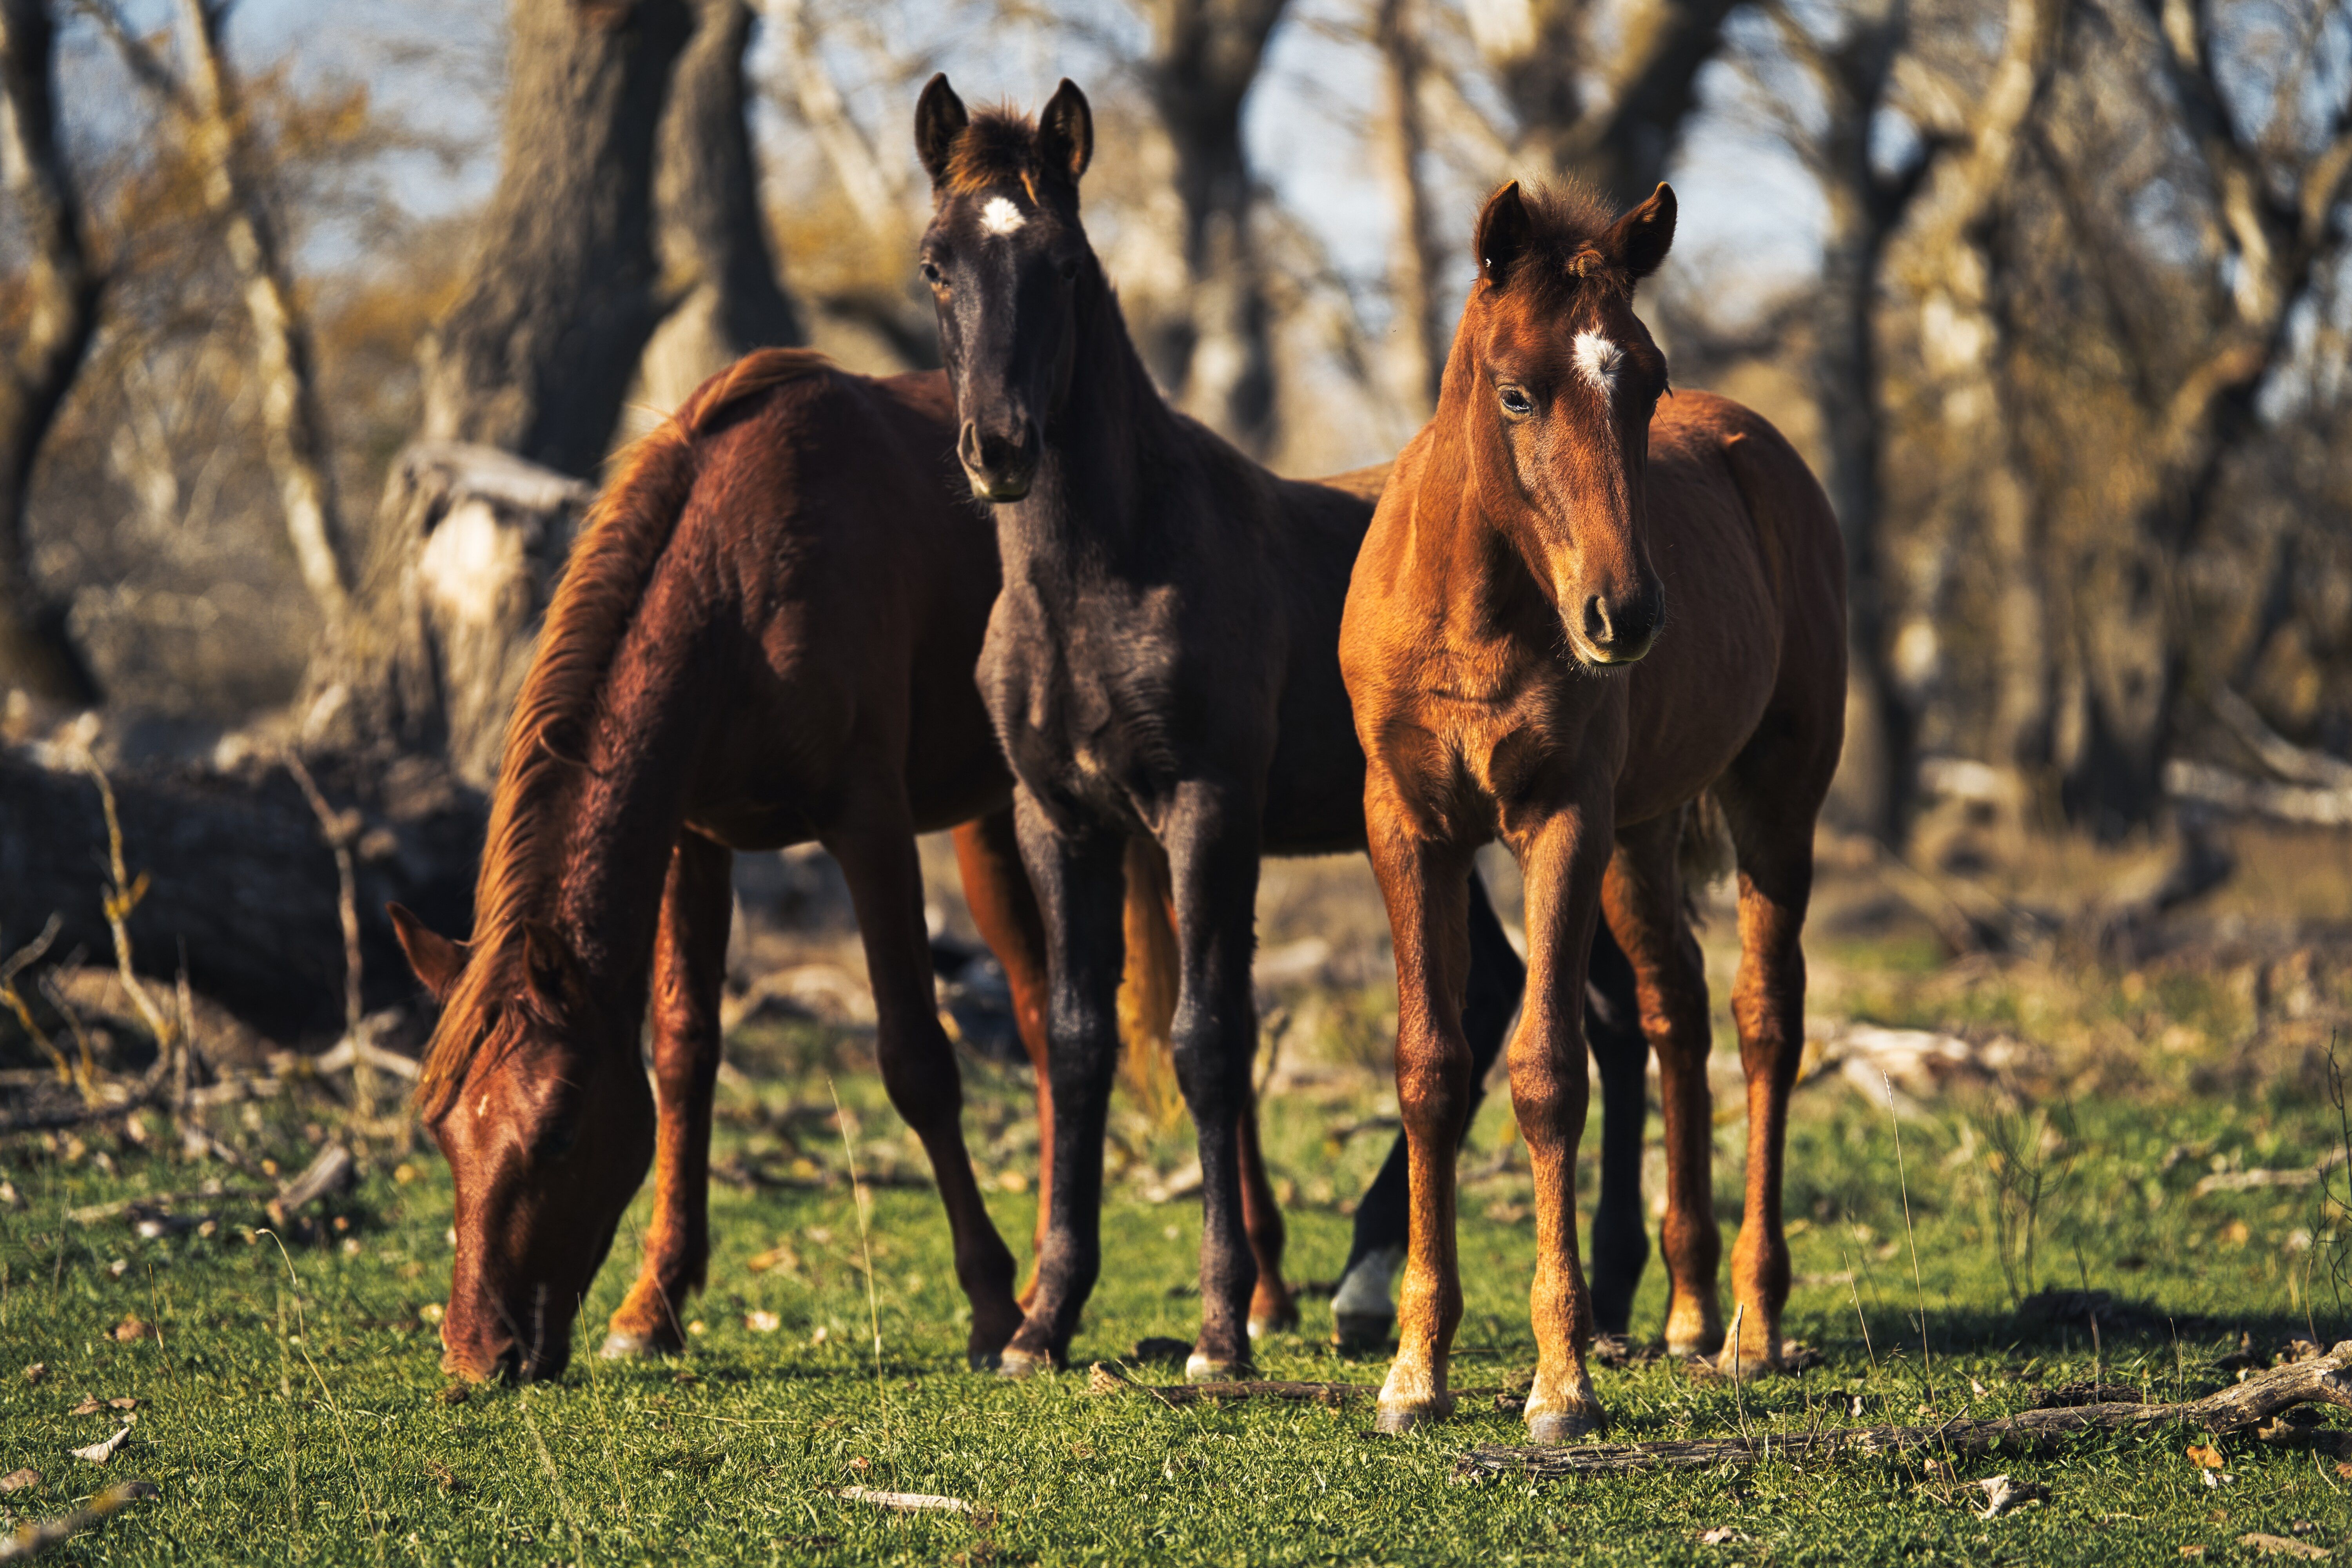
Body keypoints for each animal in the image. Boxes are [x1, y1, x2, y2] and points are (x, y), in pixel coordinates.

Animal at [385, 349, 1225, 1379]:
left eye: (556, 1133)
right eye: (439, 1127)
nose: (476, 1355)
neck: (735, 588)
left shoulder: (870, 825)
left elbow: (917, 1060)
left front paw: (990, 1308)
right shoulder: (693, 842)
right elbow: (685, 1054)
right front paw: (652, 1303)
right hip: (997, 825)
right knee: (1041, 1018)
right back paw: (1049, 1285)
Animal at [909, 76, 1656, 1381]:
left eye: (1063, 263)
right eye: (936, 264)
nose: (998, 447)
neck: (1099, 575)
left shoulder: (1207, 810)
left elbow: (1208, 1040)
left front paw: (1220, 1327)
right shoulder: (1061, 819)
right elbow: (1078, 1040)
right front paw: (1047, 1319)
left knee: (1603, 1016)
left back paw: (1600, 1299)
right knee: (1495, 995)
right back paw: (1370, 1280)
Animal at [1339, 178, 1846, 1441]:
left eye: (1647, 380)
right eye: (1516, 391)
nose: (1627, 614)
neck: (1472, 612)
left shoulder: (1560, 824)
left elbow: (1545, 1072)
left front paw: (1561, 1381)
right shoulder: (1408, 831)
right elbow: (1430, 1067)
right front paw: (1414, 1370)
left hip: (1775, 807)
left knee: (1765, 1020)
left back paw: (1752, 1323)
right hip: (1643, 839)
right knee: (1679, 1011)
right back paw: (1687, 1311)